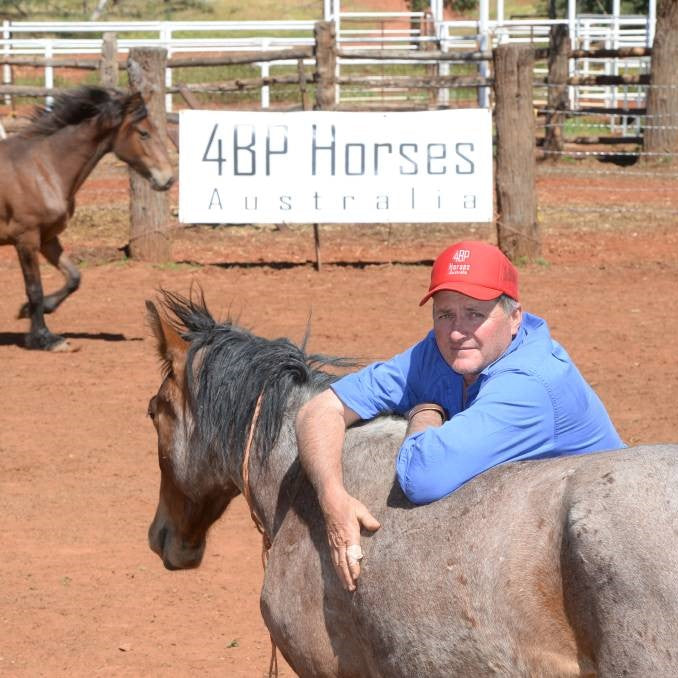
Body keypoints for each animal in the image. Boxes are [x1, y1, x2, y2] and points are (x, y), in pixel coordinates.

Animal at [0, 85, 174, 351]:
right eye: (144, 133)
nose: (168, 178)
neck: (42, 168)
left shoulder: (48, 238)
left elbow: (74, 278)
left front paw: (30, 311)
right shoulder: (26, 239)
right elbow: (35, 288)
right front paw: (44, 338)